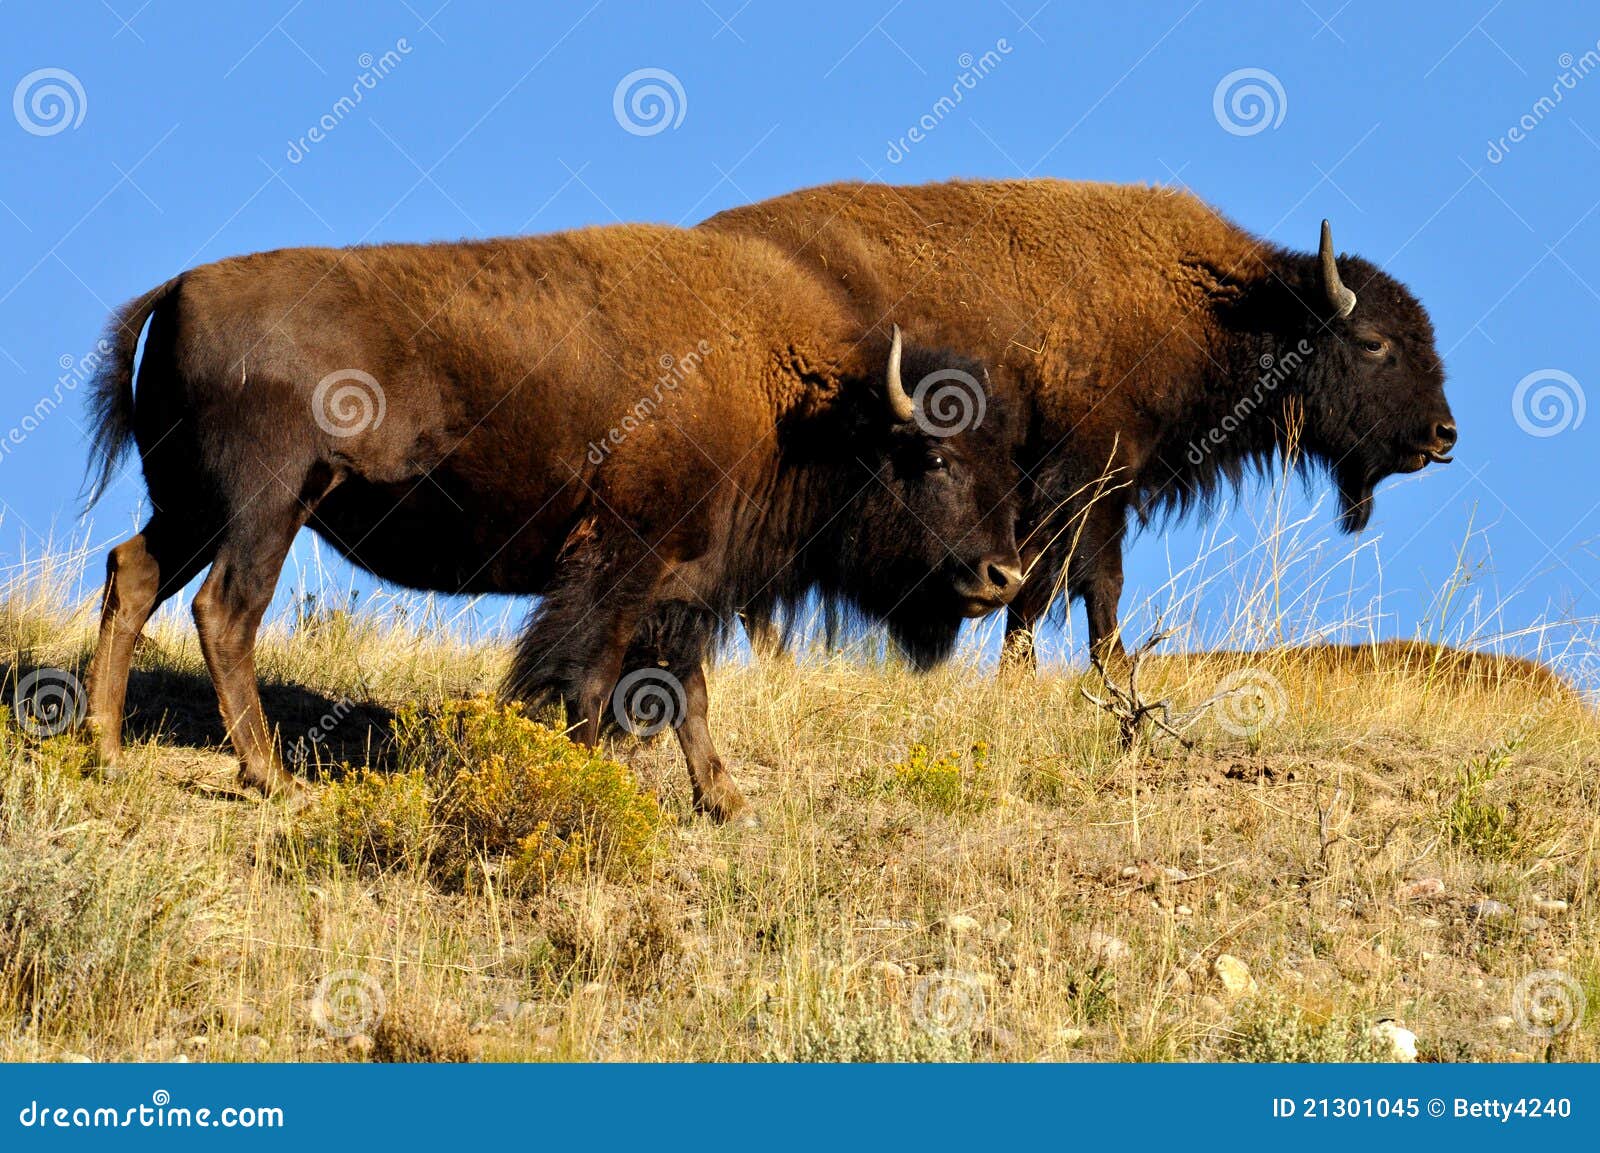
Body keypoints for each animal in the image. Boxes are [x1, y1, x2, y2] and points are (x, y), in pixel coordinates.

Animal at [81, 226, 1026, 820]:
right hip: (265, 508)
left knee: (133, 573)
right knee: (224, 611)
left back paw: (106, 747)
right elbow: (594, 680)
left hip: (193, 509)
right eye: (933, 459)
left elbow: (685, 689)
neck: (794, 398)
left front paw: (726, 800)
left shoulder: (681, 585)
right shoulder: (622, 562)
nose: (1002, 576)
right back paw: (273, 777)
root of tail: (180, 287)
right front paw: (593, 776)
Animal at [704, 180, 1455, 661]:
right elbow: (1091, 581)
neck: (1219, 308)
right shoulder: (1090, 481)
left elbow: (1037, 586)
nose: (1443, 434)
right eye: (1373, 343)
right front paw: (1107, 671)